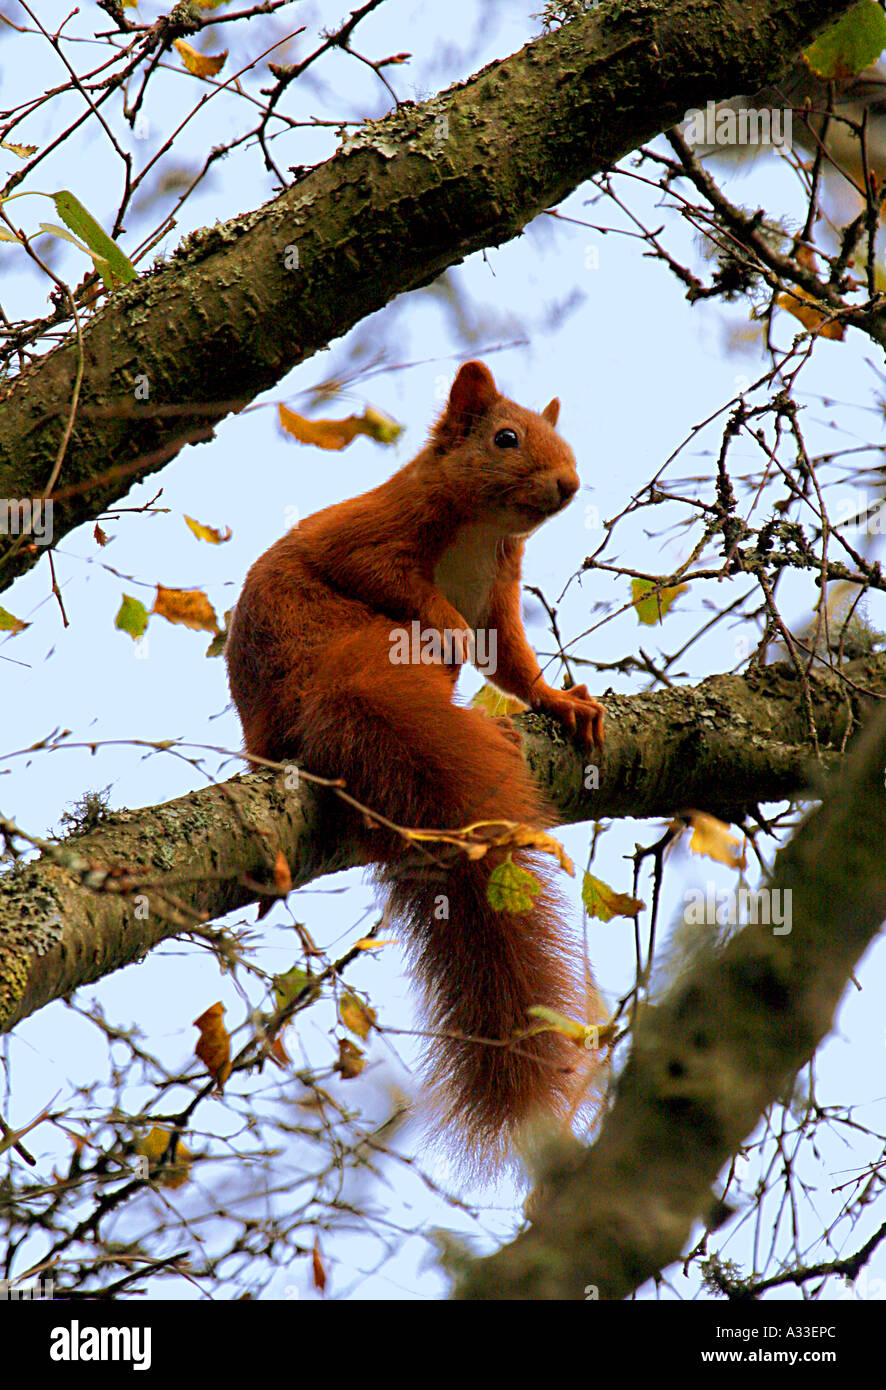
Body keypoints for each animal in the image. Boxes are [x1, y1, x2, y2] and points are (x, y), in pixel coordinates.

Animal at [225, 361, 605, 1169]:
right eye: (506, 438)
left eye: (564, 440)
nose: (567, 485)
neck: (483, 527)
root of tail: (331, 687)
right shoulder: (376, 533)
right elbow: (392, 579)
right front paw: (450, 625)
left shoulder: (499, 592)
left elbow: (513, 664)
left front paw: (559, 702)